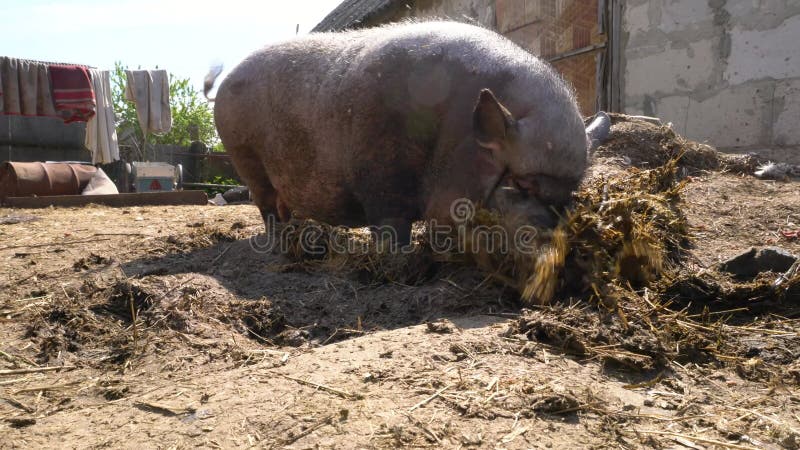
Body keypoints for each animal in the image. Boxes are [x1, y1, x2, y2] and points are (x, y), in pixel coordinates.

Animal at [211, 21, 610, 244]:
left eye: (569, 194)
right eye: (521, 184)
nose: (551, 239)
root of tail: (225, 82)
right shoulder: (380, 170)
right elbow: (391, 224)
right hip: (245, 158)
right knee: (266, 206)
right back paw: (279, 243)